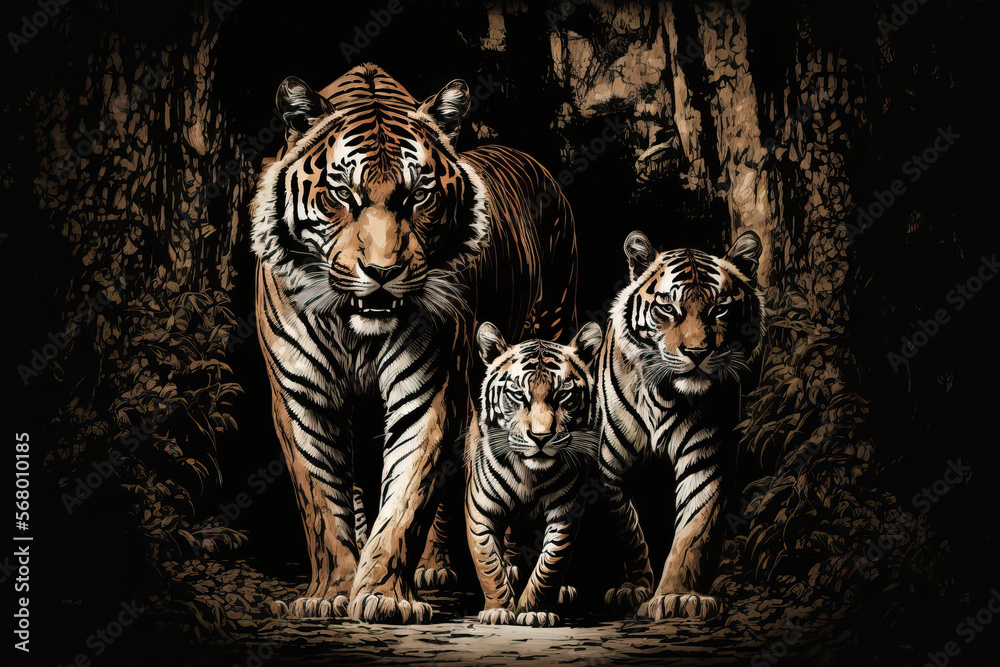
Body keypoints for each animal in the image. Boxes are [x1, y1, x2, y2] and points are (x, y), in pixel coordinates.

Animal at [249, 64, 578, 624]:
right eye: (343, 195)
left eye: (417, 197)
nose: (382, 272)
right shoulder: (302, 394)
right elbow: (323, 500)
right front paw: (331, 593)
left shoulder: (430, 388)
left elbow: (407, 497)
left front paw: (384, 596)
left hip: (547, 327)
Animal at [465, 320, 602, 627]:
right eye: (518, 395)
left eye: (562, 395)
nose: (540, 437)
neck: (529, 475)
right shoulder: (481, 510)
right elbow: (487, 562)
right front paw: (498, 609)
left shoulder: (565, 512)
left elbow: (550, 565)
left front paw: (535, 611)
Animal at [597, 230, 764, 621]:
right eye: (668, 309)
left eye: (719, 309)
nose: (697, 353)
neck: (664, 394)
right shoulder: (613, 469)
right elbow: (628, 528)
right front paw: (634, 588)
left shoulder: (705, 456)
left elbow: (693, 531)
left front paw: (678, 596)